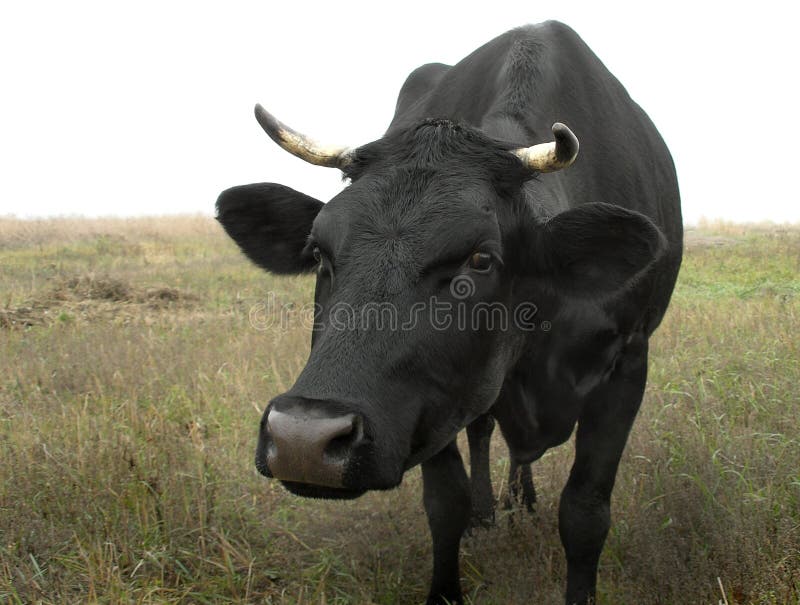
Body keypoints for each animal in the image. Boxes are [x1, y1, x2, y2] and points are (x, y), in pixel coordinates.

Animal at [216, 21, 682, 605]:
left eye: (481, 258)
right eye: (318, 251)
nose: (303, 440)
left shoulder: (628, 363)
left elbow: (585, 514)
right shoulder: (429, 398)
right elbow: (446, 505)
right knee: (484, 434)